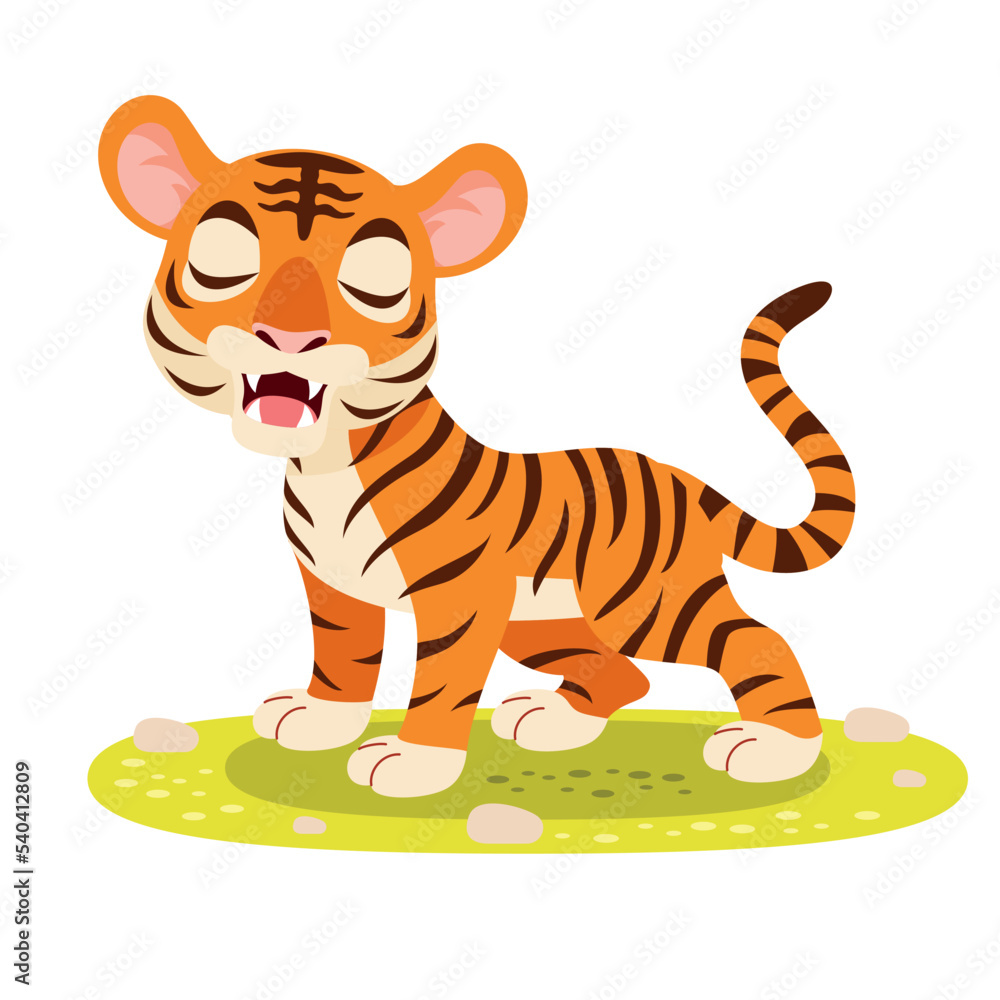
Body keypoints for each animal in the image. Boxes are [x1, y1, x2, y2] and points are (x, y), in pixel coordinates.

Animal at [98, 96, 855, 798]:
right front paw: (318, 719)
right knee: (622, 672)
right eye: (223, 256)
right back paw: (555, 721)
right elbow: (345, 658)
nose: (290, 339)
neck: (326, 462)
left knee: (756, 639)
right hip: (542, 619)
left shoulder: (461, 600)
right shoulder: (334, 587)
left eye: (375, 279)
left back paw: (774, 749)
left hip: (644, 602)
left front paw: (413, 763)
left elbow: (440, 682)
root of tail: (684, 479)